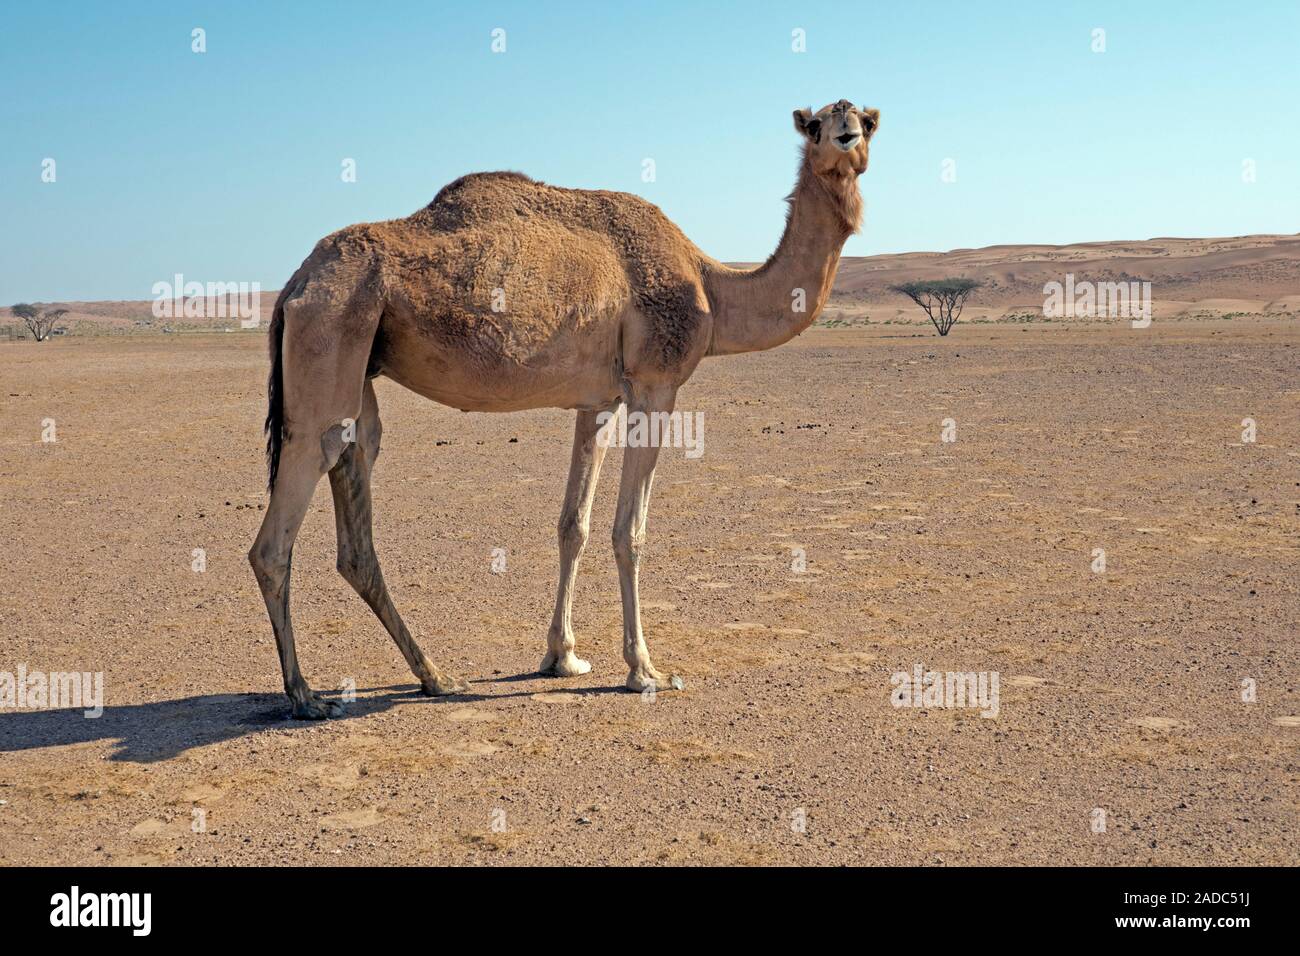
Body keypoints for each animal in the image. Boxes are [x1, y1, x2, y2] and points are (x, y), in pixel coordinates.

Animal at [250, 99, 880, 718]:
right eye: (817, 124)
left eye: (868, 121)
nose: (847, 132)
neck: (711, 288)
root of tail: (295, 283)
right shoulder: (655, 386)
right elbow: (630, 531)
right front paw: (645, 670)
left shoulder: (597, 401)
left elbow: (572, 524)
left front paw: (564, 657)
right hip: (330, 335)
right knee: (277, 535)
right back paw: (304, 694)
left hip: (359, 369)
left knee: (357, 512)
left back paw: (433, 676)